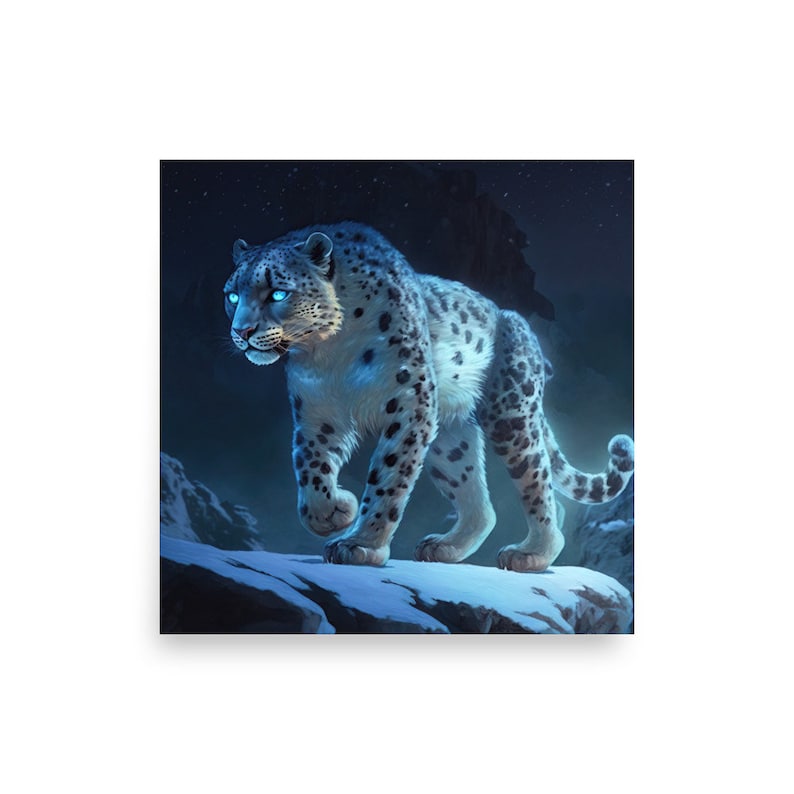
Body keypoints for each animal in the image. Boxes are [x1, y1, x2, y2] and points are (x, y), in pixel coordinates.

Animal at [223, 221, 634, 572]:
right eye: (232, 295)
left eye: (278, 292)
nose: (241, 332)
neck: (325, 352)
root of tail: (519, 325)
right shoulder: (316, 412)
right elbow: (309, 467)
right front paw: (332, 513)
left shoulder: (408, 403)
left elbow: (388, 477)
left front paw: (360, 545)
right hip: (450, 439)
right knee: (478, 499)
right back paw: (444, 547)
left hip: (510, 415)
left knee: (539, 484)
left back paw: (531, 554)